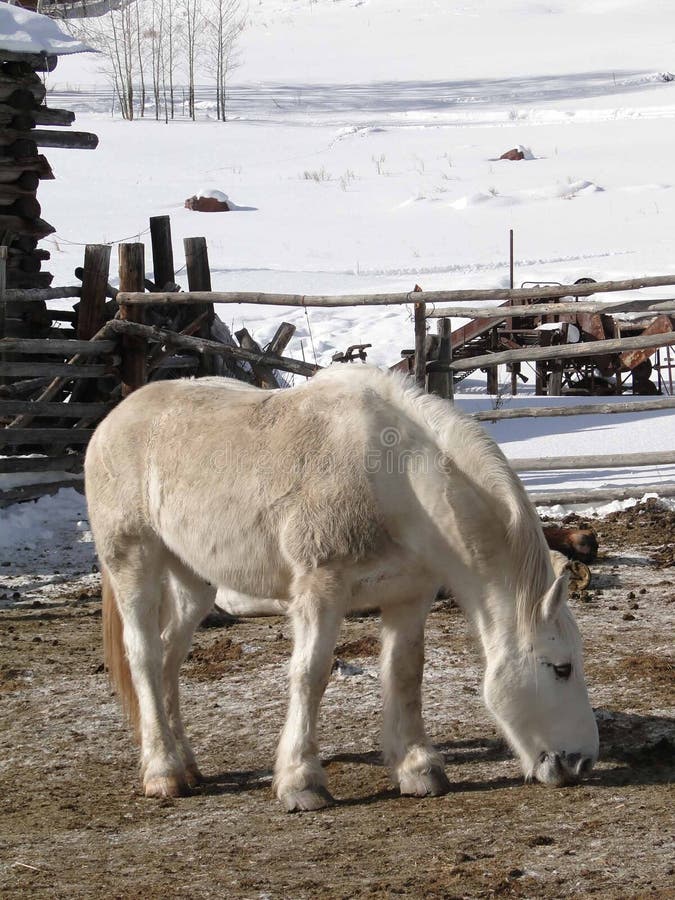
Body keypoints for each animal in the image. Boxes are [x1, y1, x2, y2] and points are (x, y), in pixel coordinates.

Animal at [85, 366, 599, 811]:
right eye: (561, 668)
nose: (581, 762)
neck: (398, 480)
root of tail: (114, 418)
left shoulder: (409, 596)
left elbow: (405, 673)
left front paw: (417, 768)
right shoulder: (320, 591)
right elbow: (310, 675)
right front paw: (301, 781)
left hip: (194, 581)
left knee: (170, 657)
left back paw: (187, 765)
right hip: (134, 561)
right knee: (145, 657)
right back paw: (163, 772)